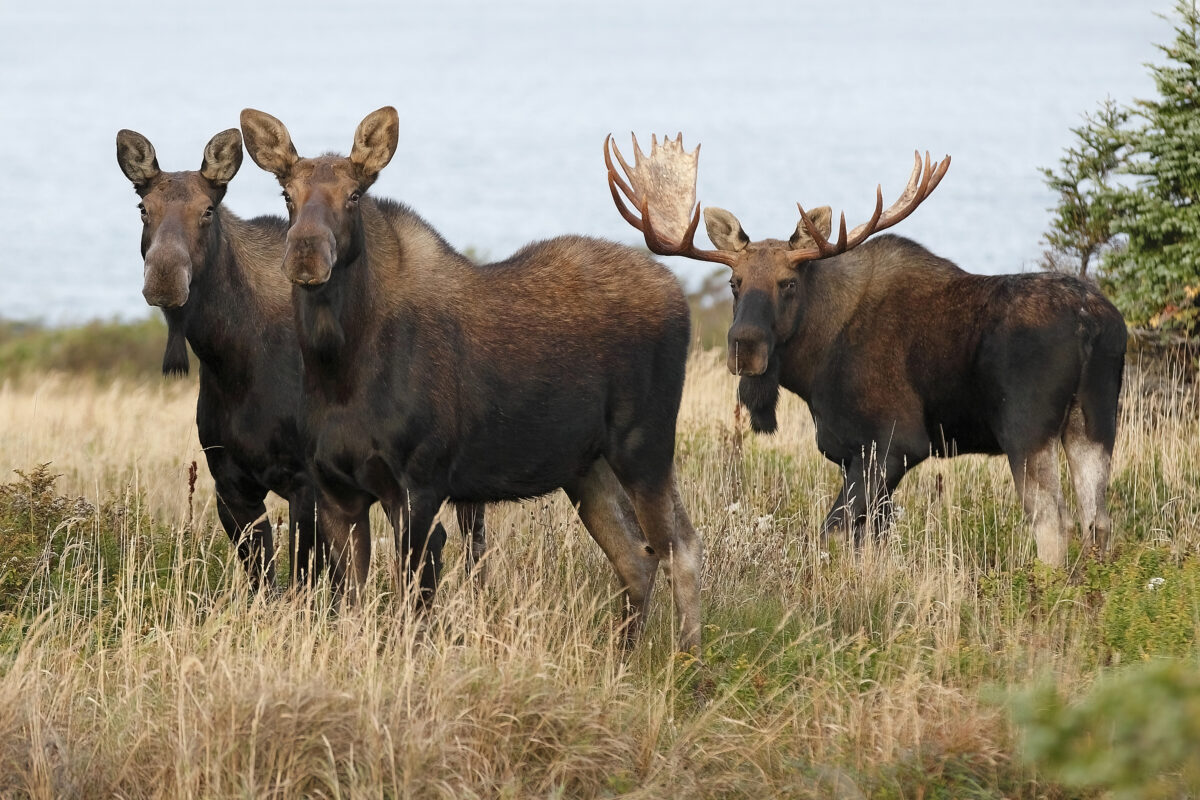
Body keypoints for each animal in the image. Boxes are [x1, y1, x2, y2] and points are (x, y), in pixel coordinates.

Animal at [239, 107, 702, 651]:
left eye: (353, 195)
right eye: (286, 194)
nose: (306, 254)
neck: (338, 372)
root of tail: (678, 292)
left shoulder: (419, 484)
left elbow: (412, 607)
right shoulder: (336, 491)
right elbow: (351, 607)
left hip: (645, 447)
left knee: (681, 549)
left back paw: (688, 662)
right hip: (588, 467)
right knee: (636, 555)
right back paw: (623, 655)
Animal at [605, 133, 1126, 567]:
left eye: (788, 283)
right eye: (735, 283)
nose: (744, 347)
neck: (813, 364)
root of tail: (1094, 322)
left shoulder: (895, 443)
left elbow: (832, 533)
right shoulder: (859, 455)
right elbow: (869, 540)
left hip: (1025, 428)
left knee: (1052, 523)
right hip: (1093, 421)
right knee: (1097, 521)